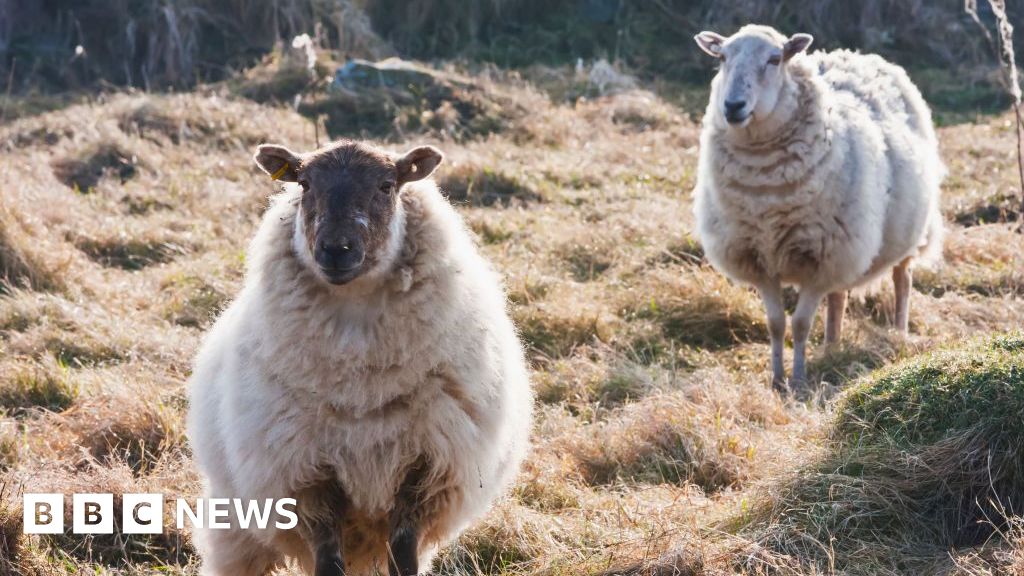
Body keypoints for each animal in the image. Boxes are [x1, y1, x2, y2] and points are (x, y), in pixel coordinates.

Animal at [186, 139, 534, 576]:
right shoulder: (306, 480)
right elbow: (327, 563)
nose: (337, 250)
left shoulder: (425, 473)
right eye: (303, 183)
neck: (362, 382)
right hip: (236, 523)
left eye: (387, 185)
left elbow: (404, 558)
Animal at [691, 25, 944, 392]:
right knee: (838, 296)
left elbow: (799, 324)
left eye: (775, 59)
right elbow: (775, 323)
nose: (733, 105)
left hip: (905, 231)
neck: (766, 197)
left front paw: (798, 380)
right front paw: (777, 379)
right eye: (722, 58)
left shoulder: (818, 259)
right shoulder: (761, 261)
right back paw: (831, 346)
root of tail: (858, 54)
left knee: (903, 279)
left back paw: (899, 332)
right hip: (847, 245)